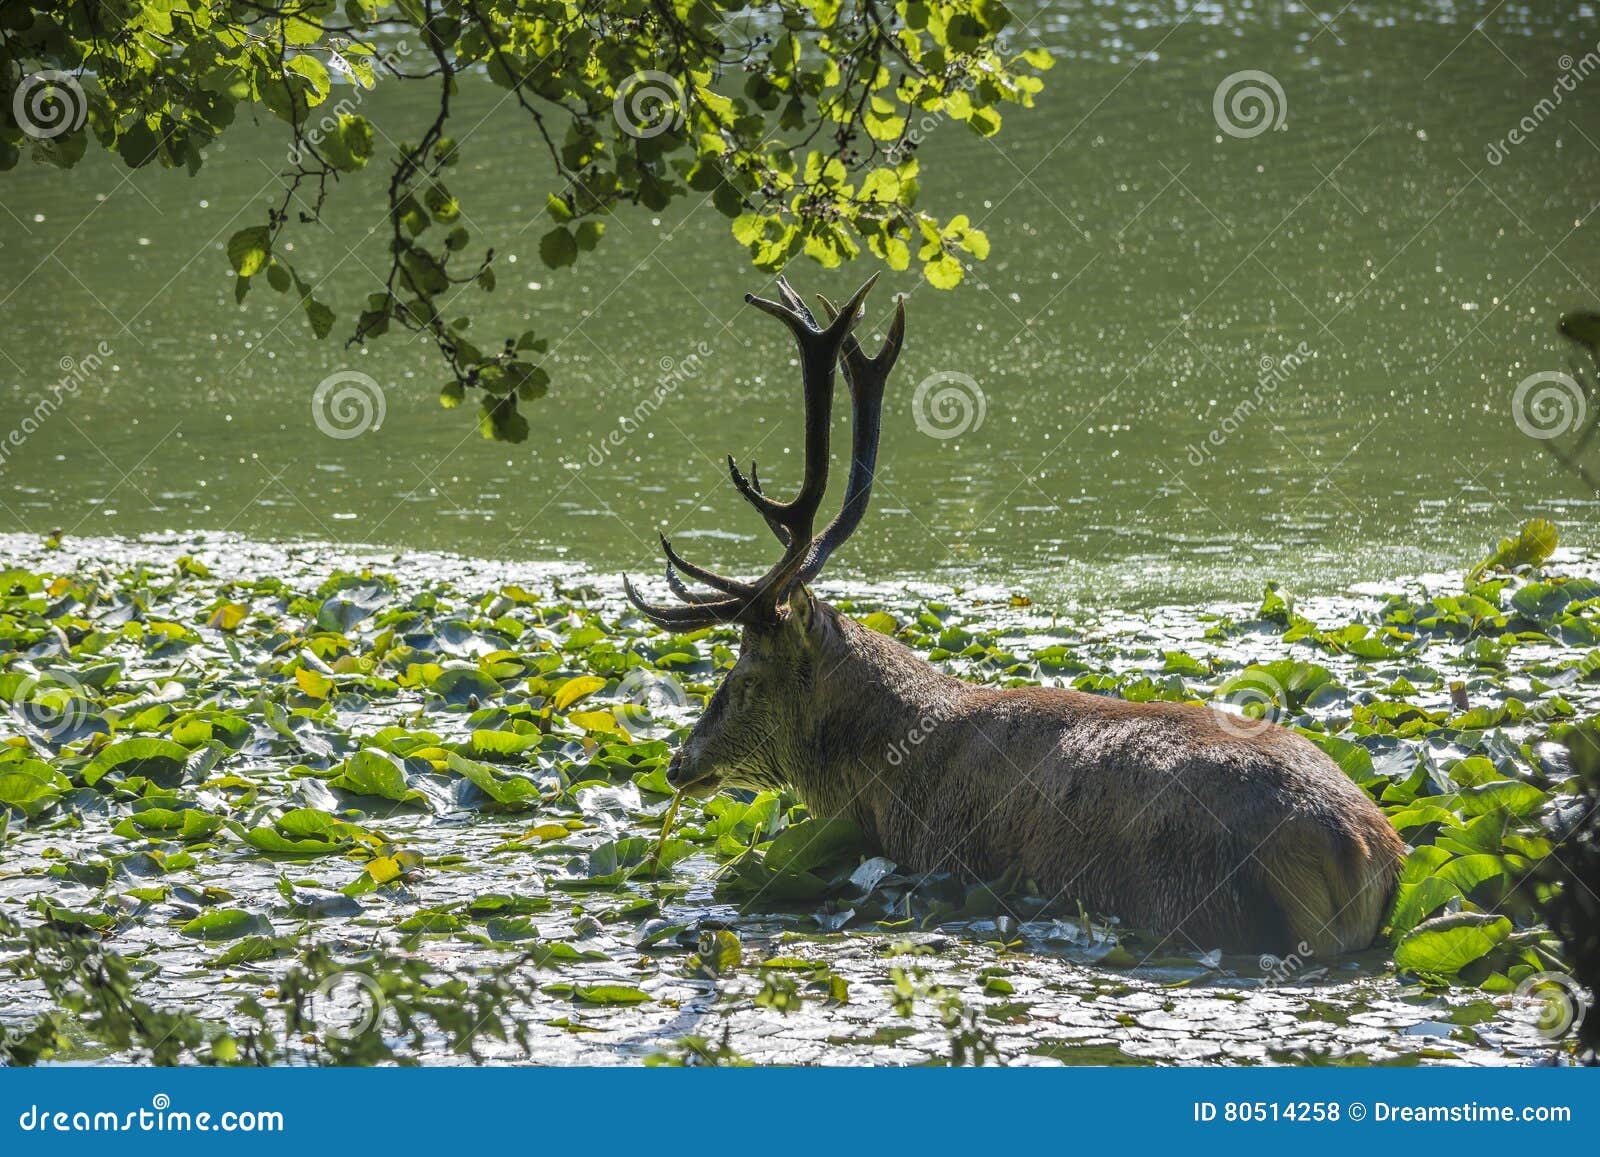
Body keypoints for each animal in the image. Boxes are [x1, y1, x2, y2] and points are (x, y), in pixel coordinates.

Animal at [623, 275, 1405, 957]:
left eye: (745, 673)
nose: (679, 762)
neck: (878, 767)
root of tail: (1366, 847)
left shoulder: (922, 850)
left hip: (1199, 904)